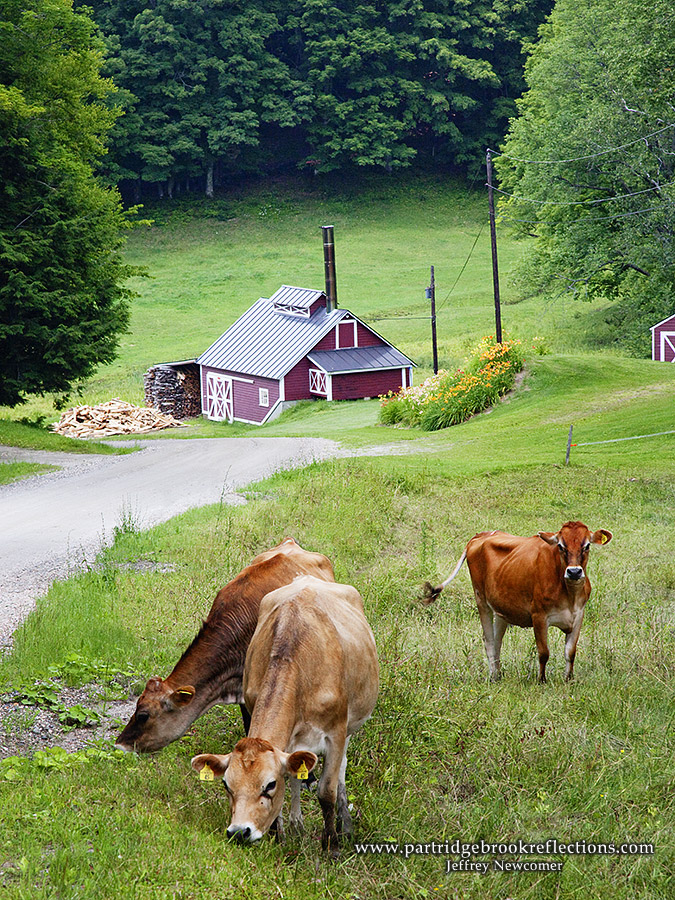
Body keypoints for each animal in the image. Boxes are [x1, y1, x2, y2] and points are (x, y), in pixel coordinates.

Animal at [190, 574, 379, 857]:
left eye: (269, 785)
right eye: (226, 785)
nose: (239, 832)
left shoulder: (335, 733)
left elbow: (327, 791)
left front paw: (331, 846)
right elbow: (292, 776)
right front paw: (279, 836)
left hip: (350, 726)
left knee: (341, 771)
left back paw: (345, 825)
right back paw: (297, 824)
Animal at [423, 521, 612, 683]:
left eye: (587, 546)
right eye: (560, 546)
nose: (574, 572)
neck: (569, 594)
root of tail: (481, 535)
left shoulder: (578, 615)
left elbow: (570, 652)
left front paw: (568, 680)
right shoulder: (539, 615)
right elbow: (544, 652)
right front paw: (541, 680)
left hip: (501, 609)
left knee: (497, 640)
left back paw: (498, 674)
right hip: (481, 600)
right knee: (489, 640)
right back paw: (493, 676)